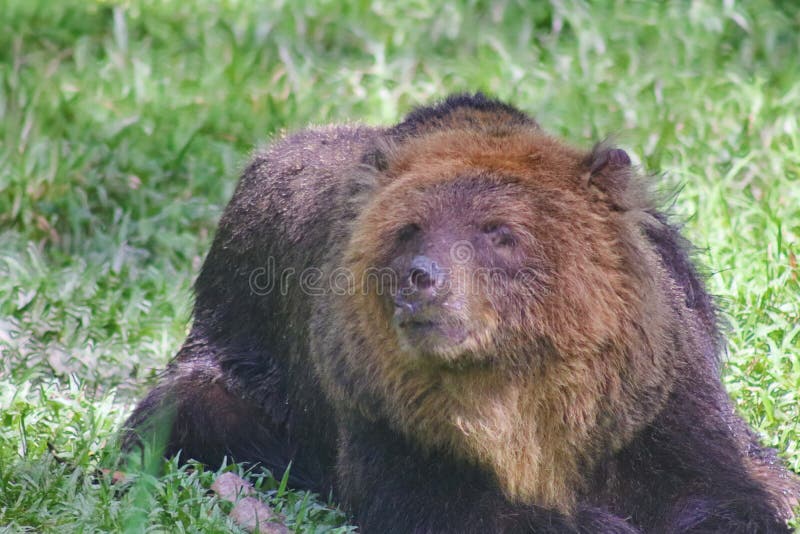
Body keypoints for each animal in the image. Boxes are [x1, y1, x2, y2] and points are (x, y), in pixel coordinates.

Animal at [124, 93, 799, 533]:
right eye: (408, 229)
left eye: (499, 231)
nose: (422, 280)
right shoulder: (386, 409)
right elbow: (443, 502)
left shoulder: (652, 395)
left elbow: (723, 487)